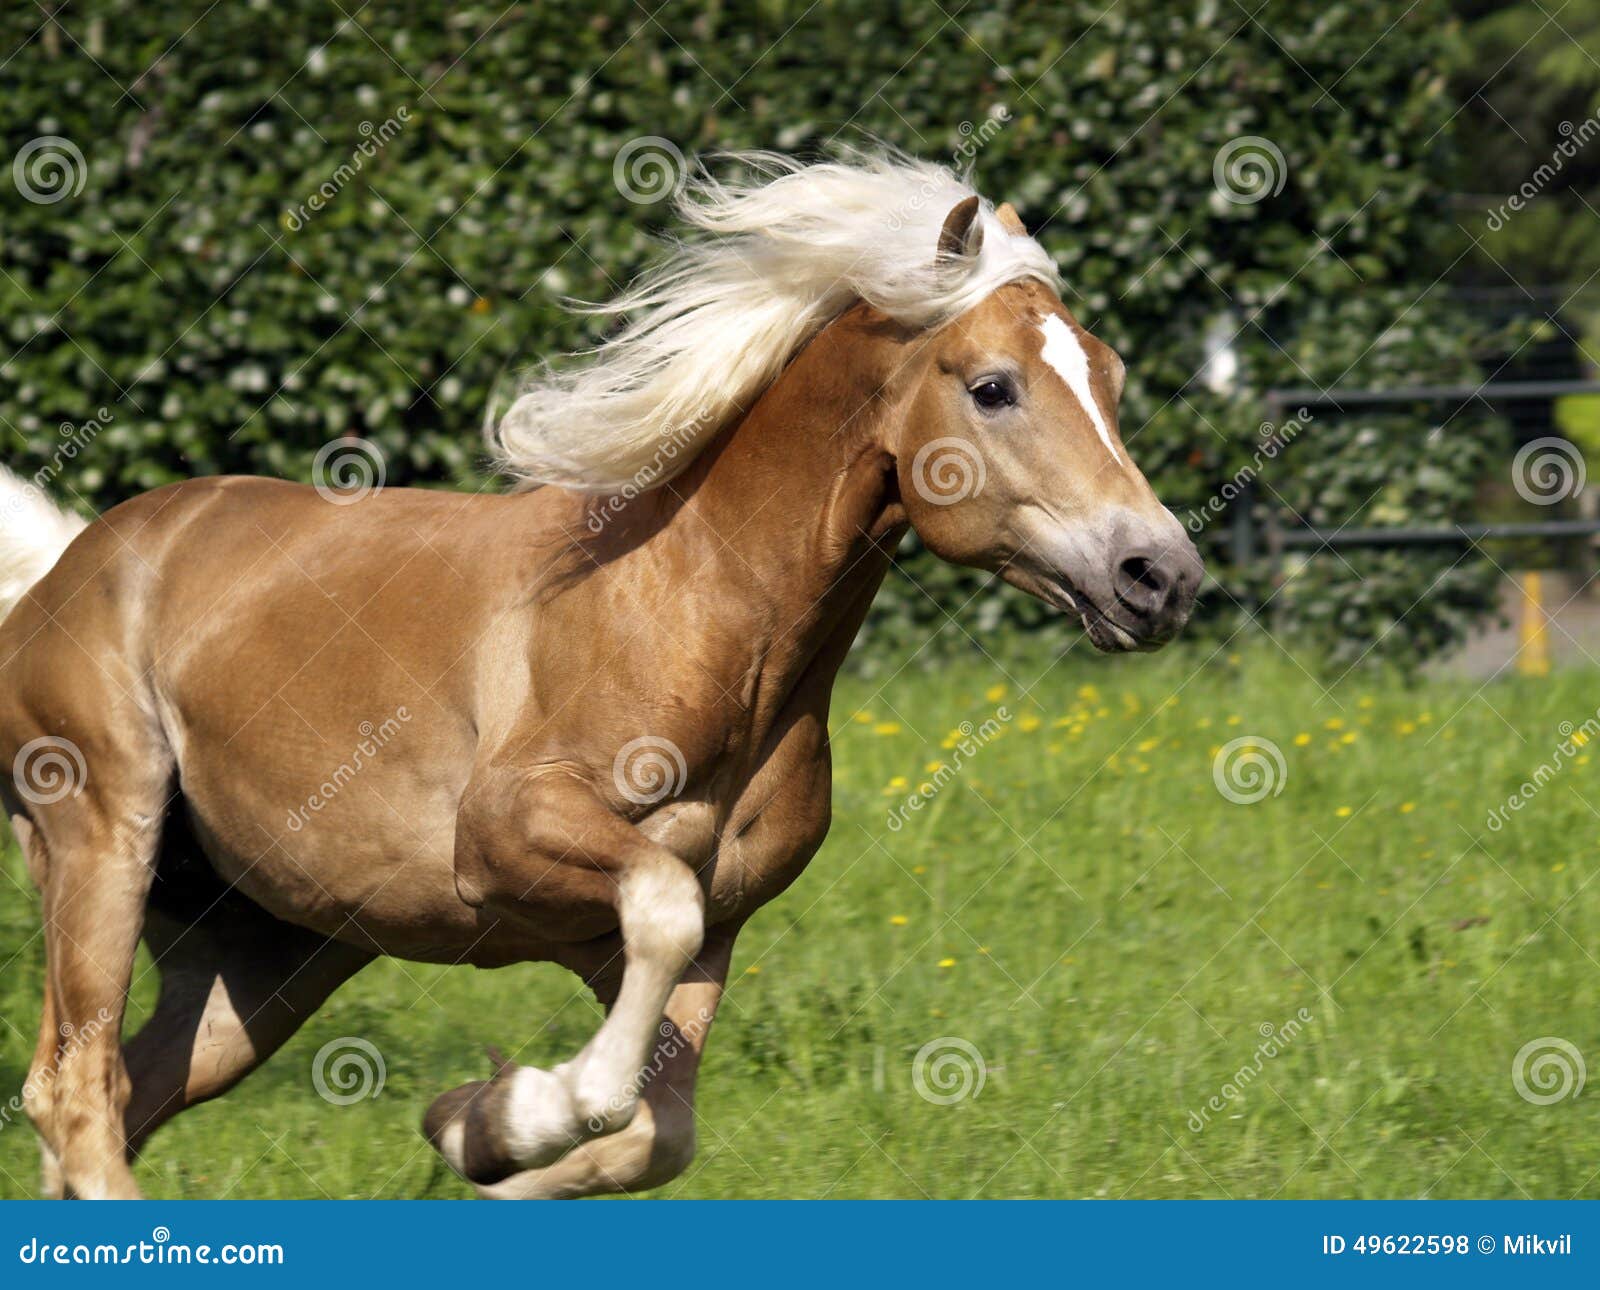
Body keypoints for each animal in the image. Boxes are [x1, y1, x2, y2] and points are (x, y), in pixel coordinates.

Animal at [0, 150, 1201, 1199]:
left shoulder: (696, 938)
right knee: (73, 1093)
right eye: (993, 388)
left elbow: (658, 1133)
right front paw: (531, 1106)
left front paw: (479, 1129)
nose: (1159, 576)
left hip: (266, 957)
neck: (693, 610)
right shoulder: (514, 837)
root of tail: (64, 567)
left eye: (1110, 379)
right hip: (102, 834)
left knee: (125, 1091)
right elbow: (652, 936)